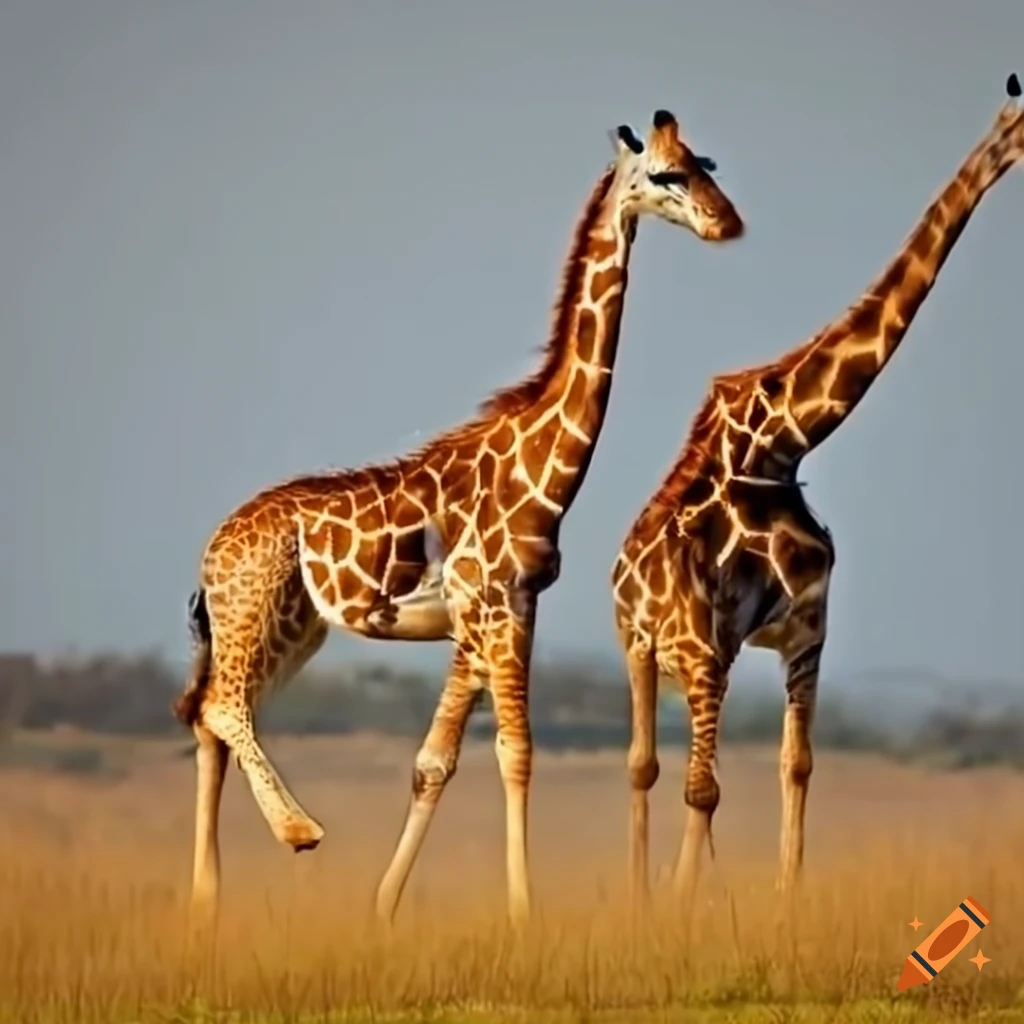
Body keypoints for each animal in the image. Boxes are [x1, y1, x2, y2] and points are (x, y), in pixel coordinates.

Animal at [174, 108, 745, 932]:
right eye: (666, 175)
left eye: (706, 165)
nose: (726, 222)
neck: (544, 467)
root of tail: (209, 554)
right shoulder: (502, 606)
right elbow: (516, 752)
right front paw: (523, 913)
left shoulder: (479, 620)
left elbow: (433, 762)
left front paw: (384, 906)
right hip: (255, 611)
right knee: (221, 708)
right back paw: (298, 831)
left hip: (292, 625)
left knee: (210, 716)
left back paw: (206, 900)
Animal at [611, 73, 1023, 922]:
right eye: (1018, 130)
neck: (786, 437)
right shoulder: (734, 638)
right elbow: (720, 783)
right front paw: (691, 905)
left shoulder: (804, 633)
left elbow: (795, 765)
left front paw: (785, 896)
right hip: (666, 648)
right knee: (668, 774)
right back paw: (655, 897)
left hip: (669, 652)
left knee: (650, 767)